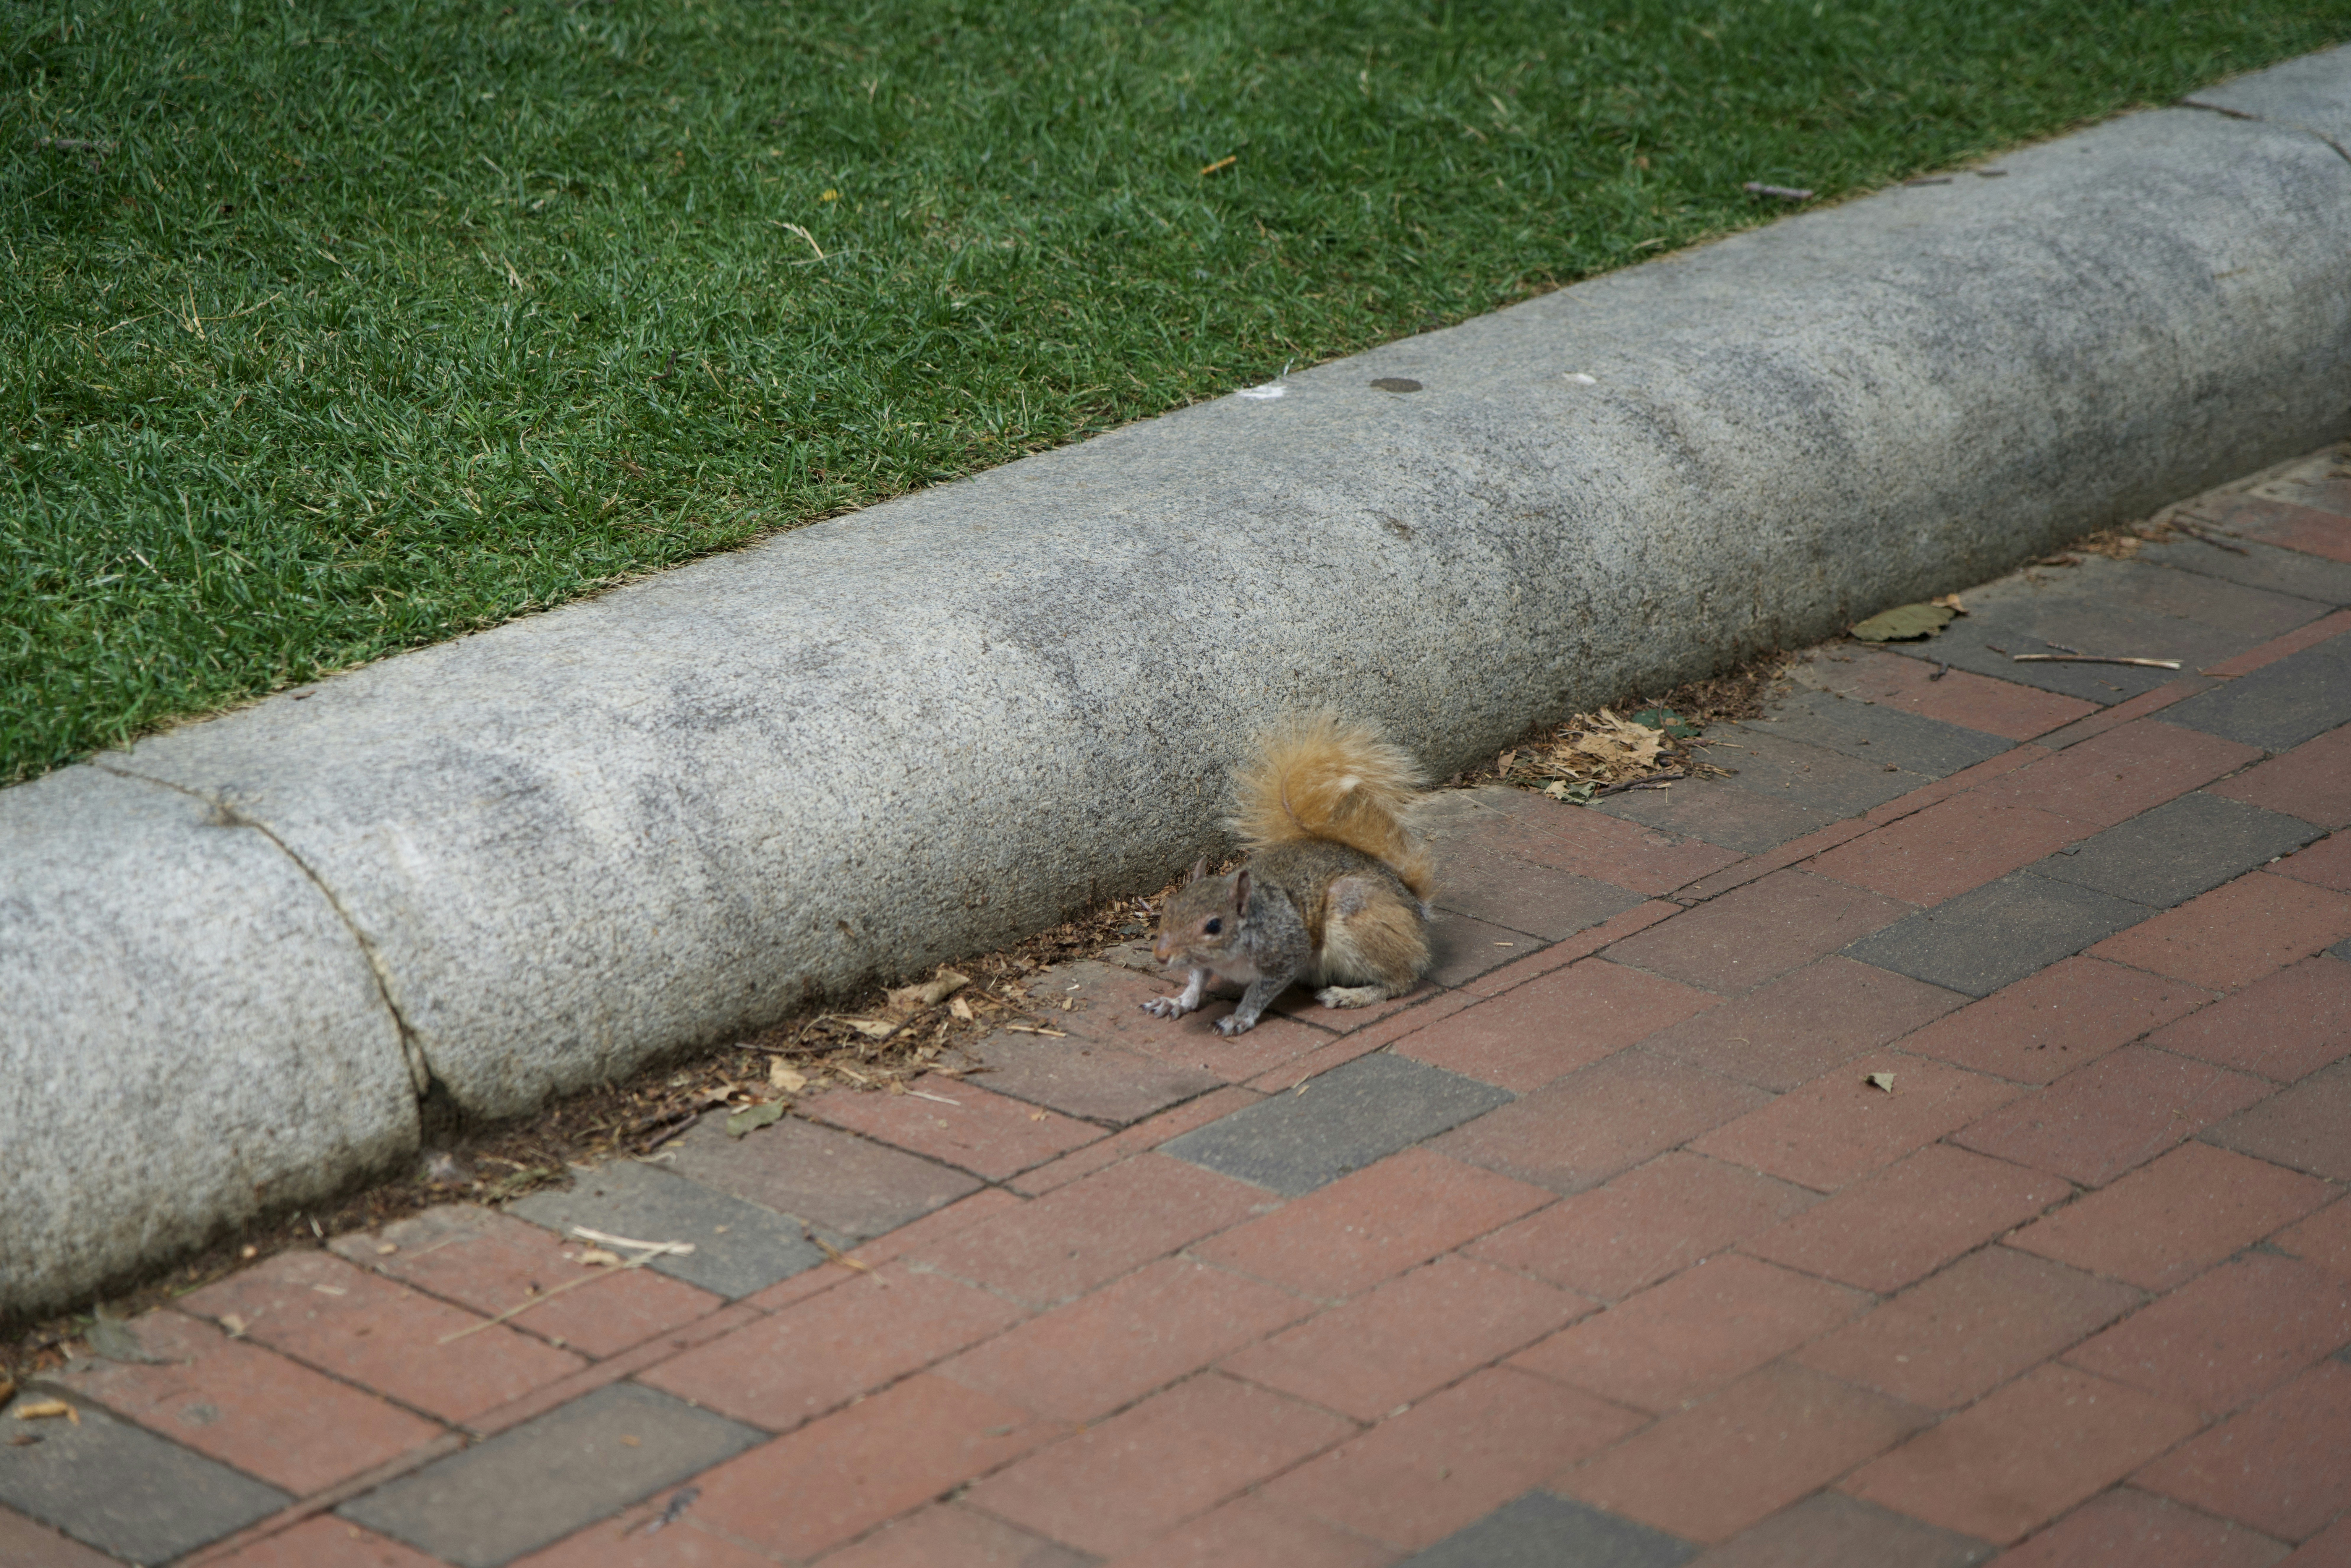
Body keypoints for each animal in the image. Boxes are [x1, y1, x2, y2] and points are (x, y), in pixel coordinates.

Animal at [1142, 713, 1436, 1037]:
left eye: (1214, 926)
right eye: (1169, 908)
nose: (1161, 956)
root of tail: (1414, 906)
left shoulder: (1289, 951)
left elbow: (1259, 991)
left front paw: (1240, 1018)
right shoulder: (1206, 964)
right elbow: (1196, 980)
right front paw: (1177, 1002)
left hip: (1358, 918)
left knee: (1401, 980)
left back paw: (1348, 996)